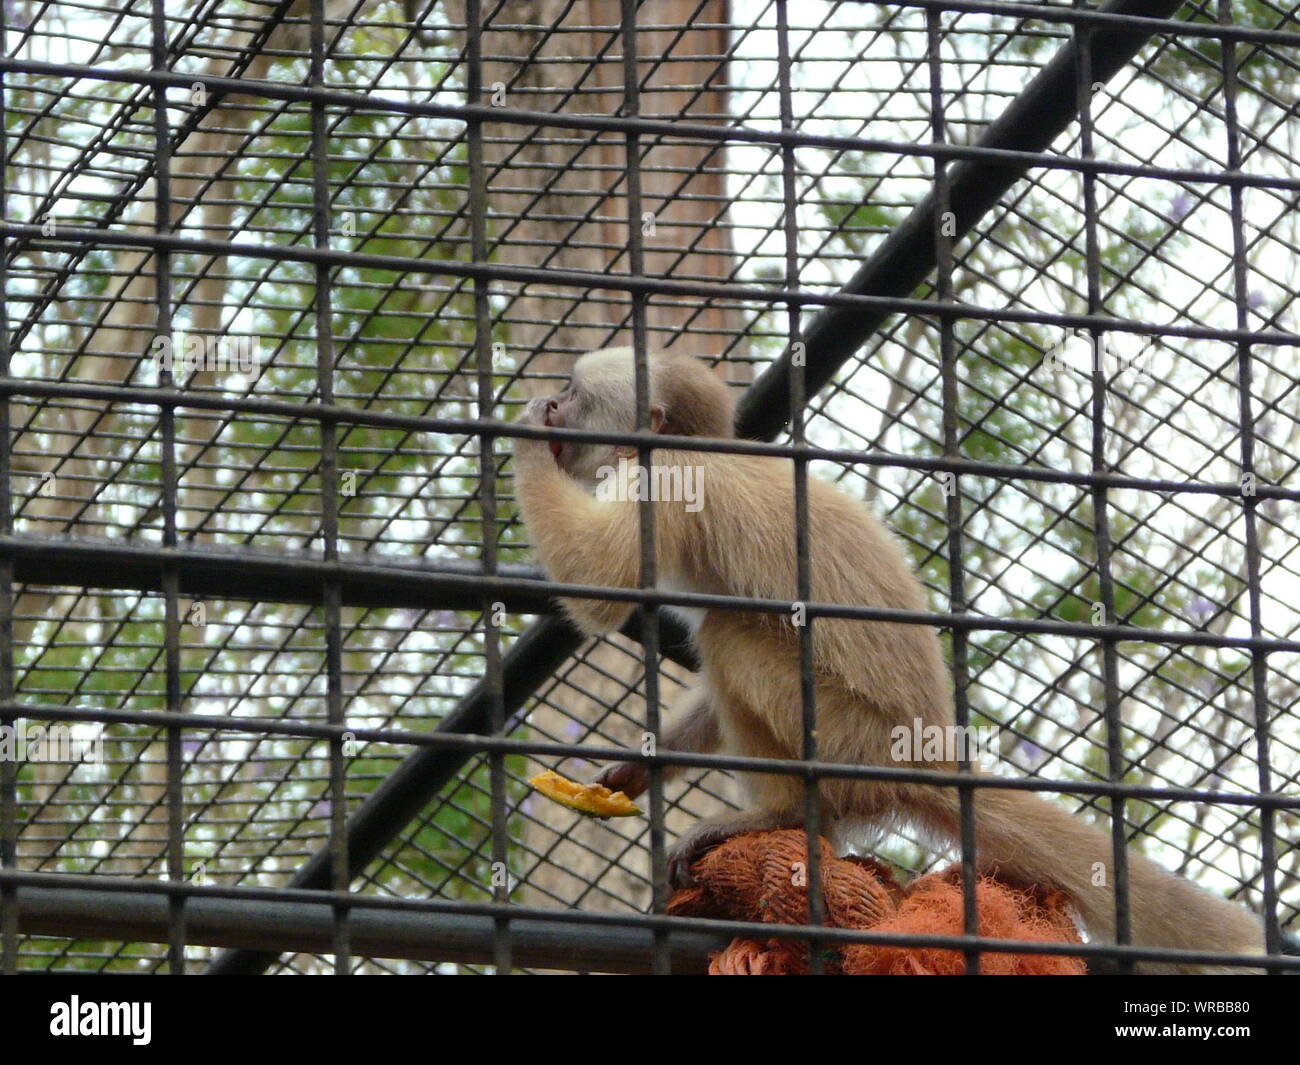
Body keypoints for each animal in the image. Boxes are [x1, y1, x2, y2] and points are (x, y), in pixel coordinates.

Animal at [511, 346, 1267, 974]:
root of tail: (927, 755)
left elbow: (599, 582)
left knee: (730, 633)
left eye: (571, 391)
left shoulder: (669, 480)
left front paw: (523, 437)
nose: (554, 402)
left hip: (851, 737)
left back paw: (784, 816)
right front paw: (633, 770)